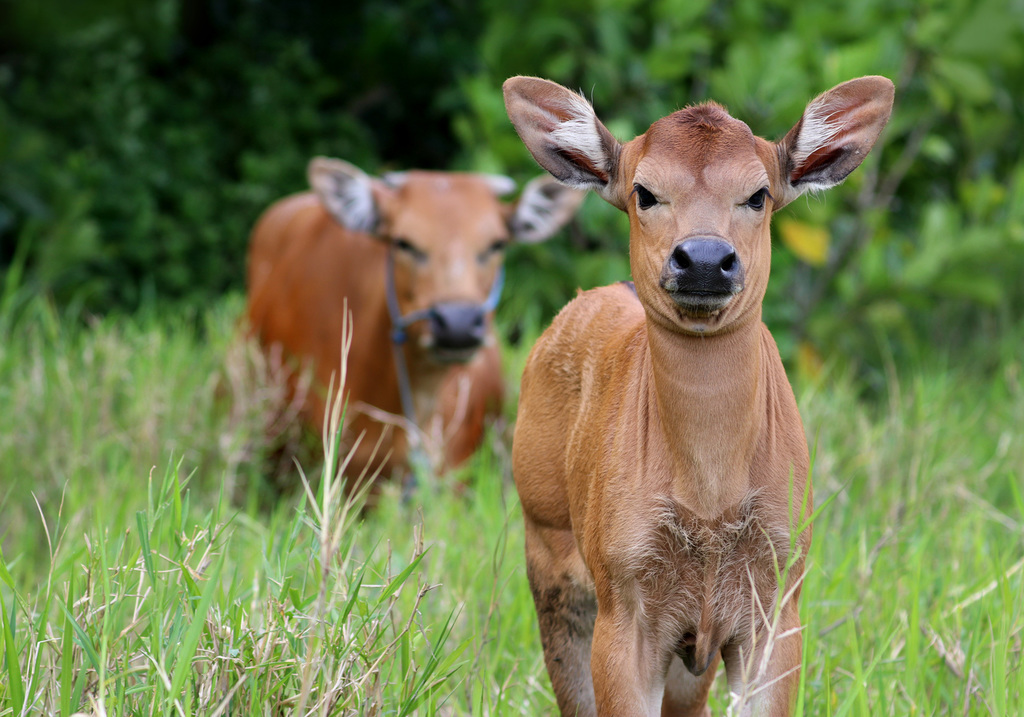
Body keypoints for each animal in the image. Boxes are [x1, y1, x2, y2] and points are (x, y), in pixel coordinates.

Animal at [503, 75, 894, 716]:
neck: (710, 499)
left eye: (759, 195)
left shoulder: (780, 595)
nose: (705, 259)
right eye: (644, 191)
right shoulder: (623, 596)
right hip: (548, 540)